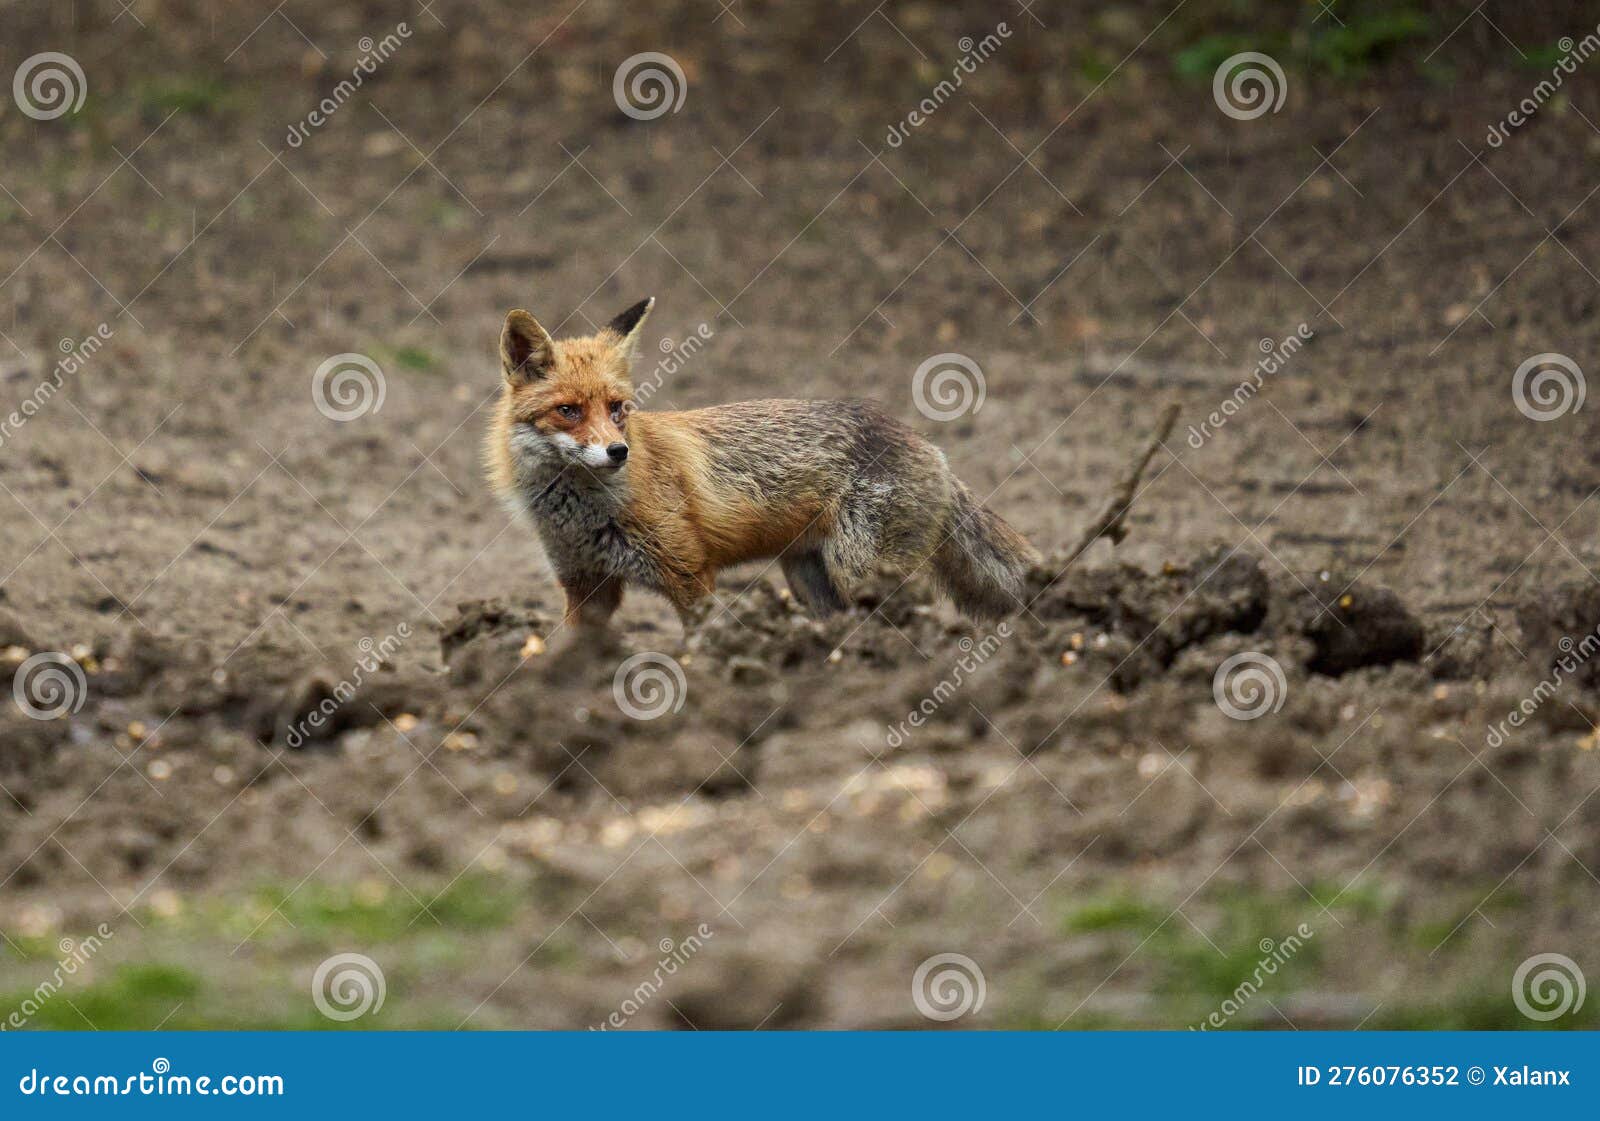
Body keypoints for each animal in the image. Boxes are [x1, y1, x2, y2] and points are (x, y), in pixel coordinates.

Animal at [485, 298, 1040, 632]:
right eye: (569, 411)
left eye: (618, 408)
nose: (618, 452)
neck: (582, 514)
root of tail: (928, 447)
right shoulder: (584, 586)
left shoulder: (690, 575)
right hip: (812, 580)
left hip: (860, 573)